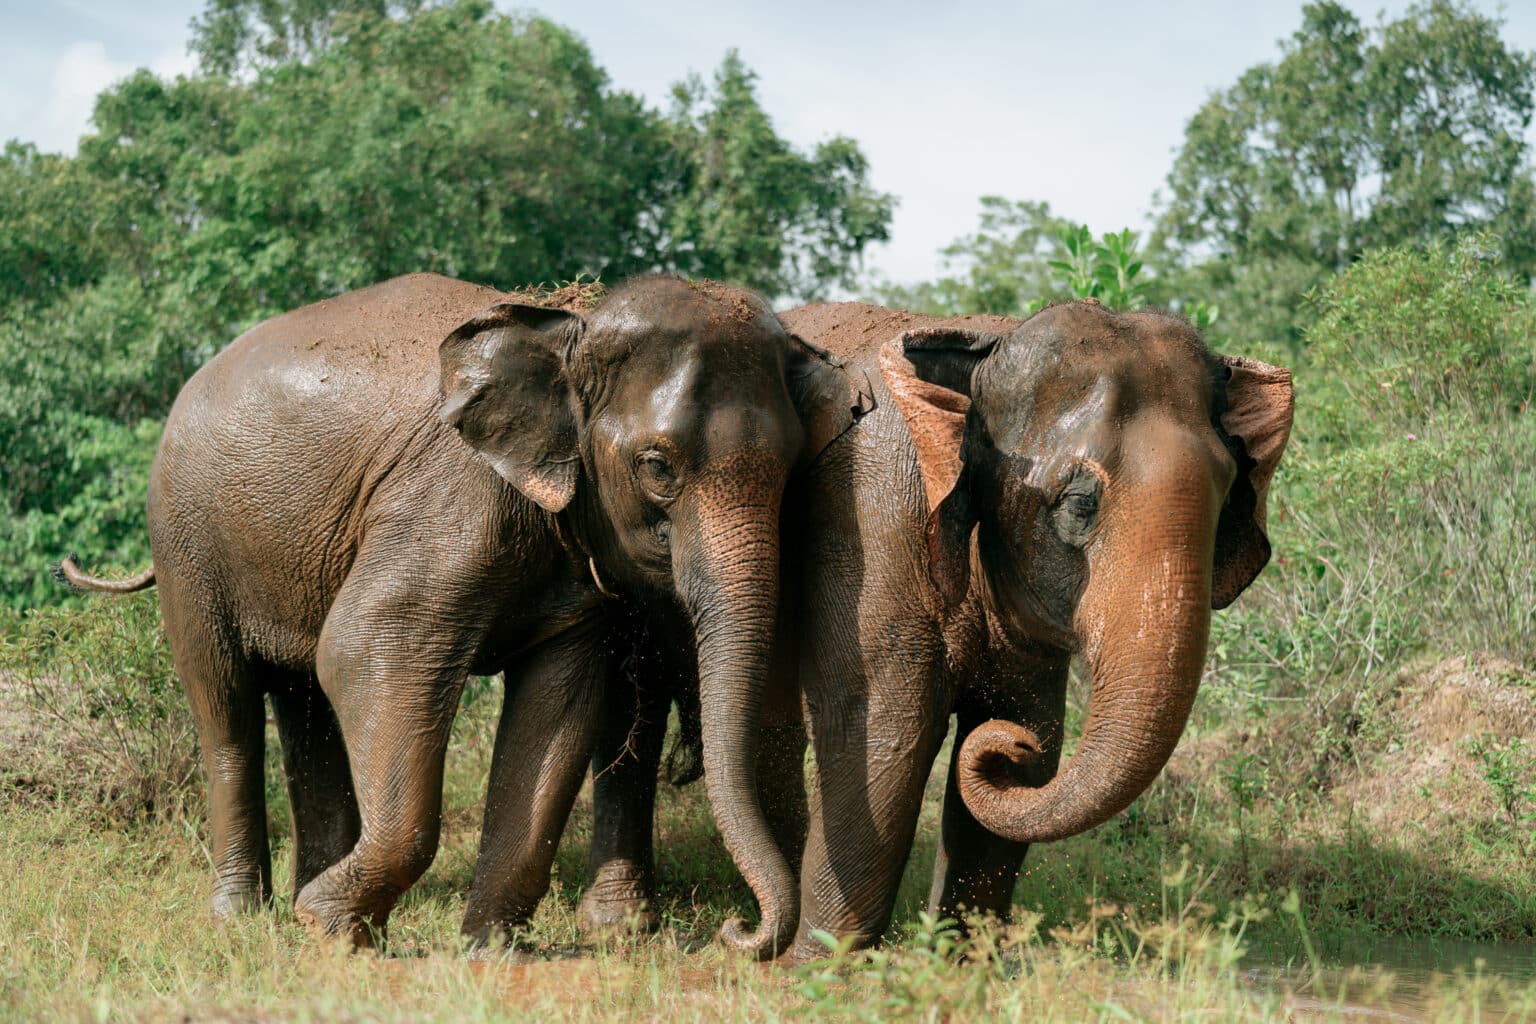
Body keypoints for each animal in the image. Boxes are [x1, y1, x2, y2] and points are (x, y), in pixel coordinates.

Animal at [57, 272, 859, 957]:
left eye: (794, 470)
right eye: (657, 467)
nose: (738, 931)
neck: (569, 329)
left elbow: (560, 707)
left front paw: (488, 951)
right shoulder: (446, 498)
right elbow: (365, 648)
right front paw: (332, 931)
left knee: (303, 702)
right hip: (187, 540)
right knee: (225, 708)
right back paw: (241, 918)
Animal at [571, 298, 1293, 963]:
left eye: (1228, 491)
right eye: (1078, 503)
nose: (1007, 751)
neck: (984, 348)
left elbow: (1034, 729)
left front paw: (959, 962)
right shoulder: (873, 517)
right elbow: (885, 726)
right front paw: (820, 968)